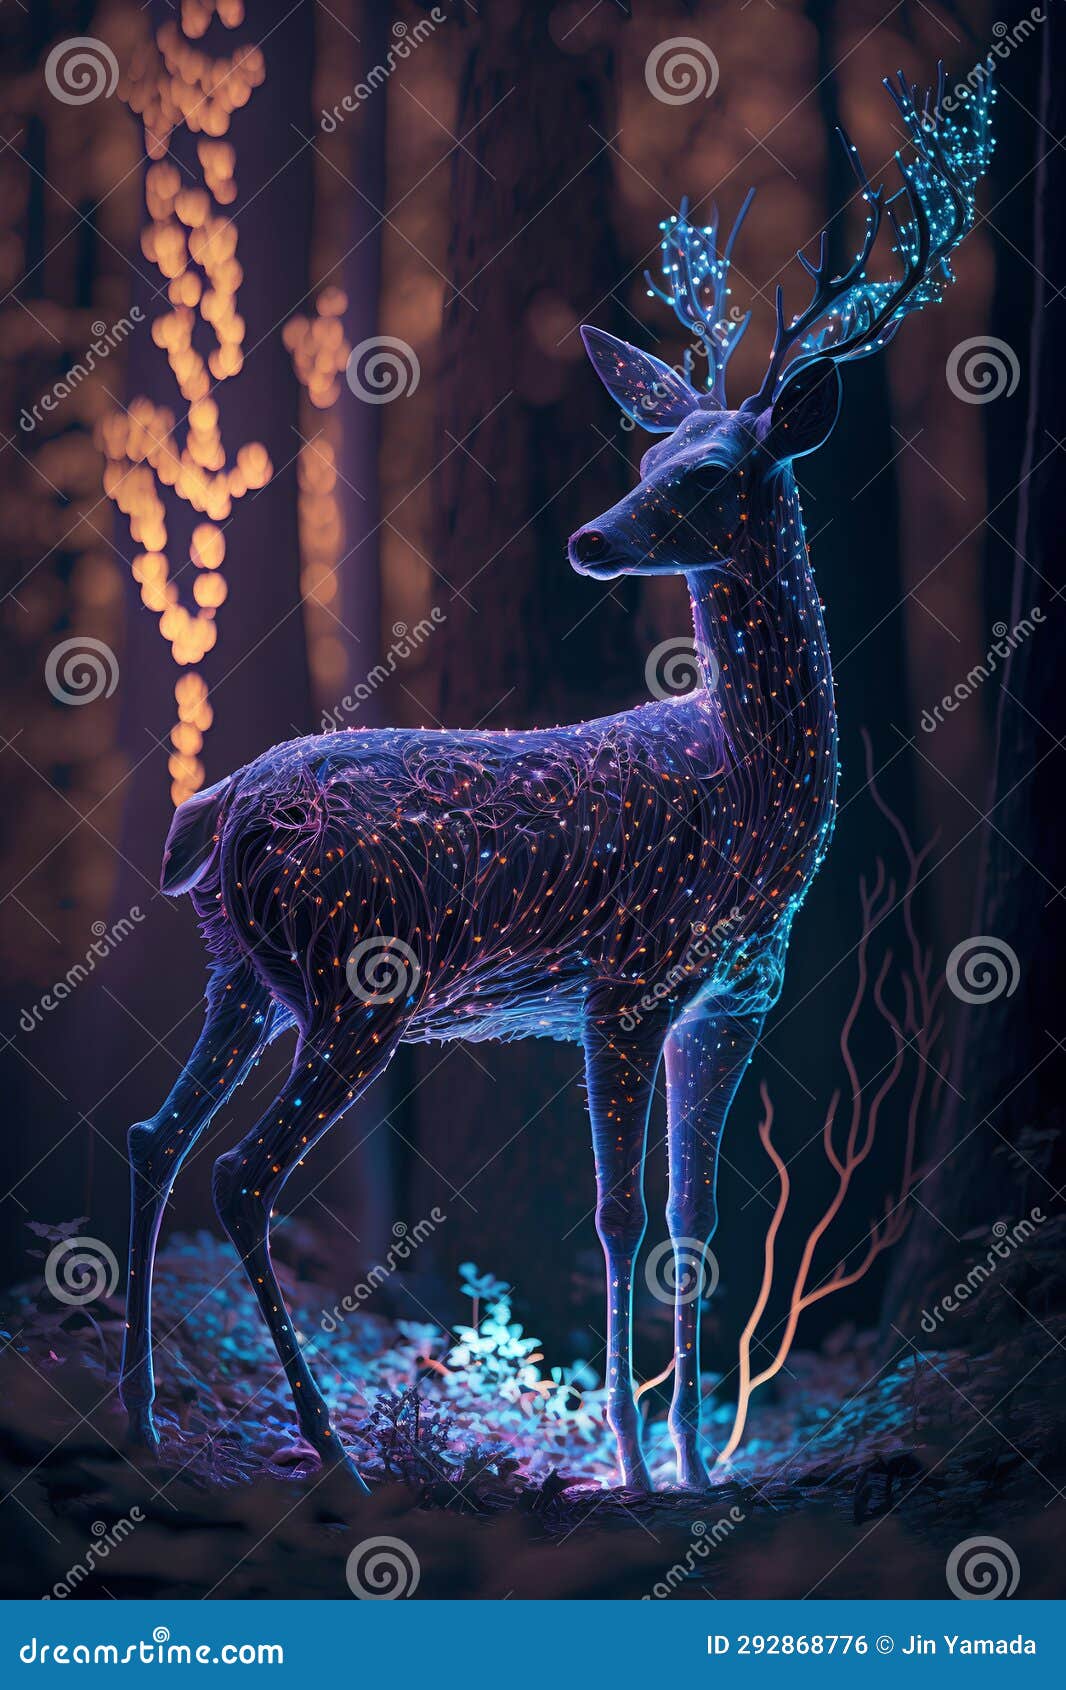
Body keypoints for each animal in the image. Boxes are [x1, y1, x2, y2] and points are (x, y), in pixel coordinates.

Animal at [119, 67, 993, 1492]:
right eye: (640, 462)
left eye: (704, 470)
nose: (588, 538)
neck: (751, 793)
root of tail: (219, 810)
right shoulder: (625, 978)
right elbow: (618, 1212)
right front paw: (631, 1464)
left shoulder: (730, 995)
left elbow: (698, 1217)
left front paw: (697, 1462)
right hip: (360, 975)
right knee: (241, 1173)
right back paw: (332, 1446)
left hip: (238, 971)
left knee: (154, 1140)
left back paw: (144, 1416)